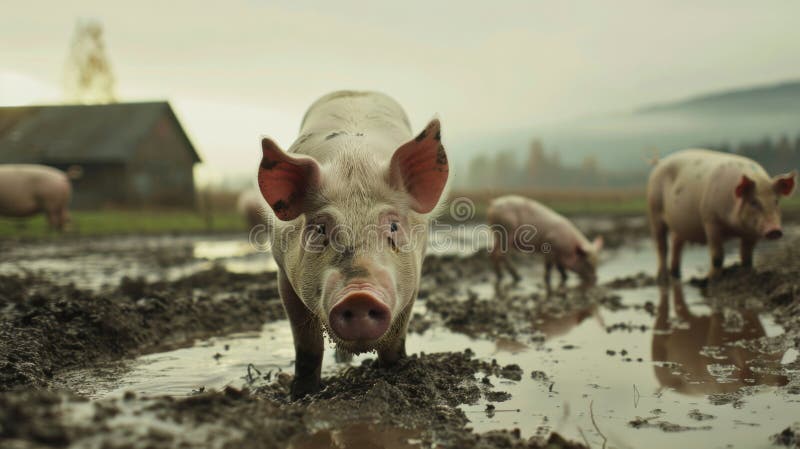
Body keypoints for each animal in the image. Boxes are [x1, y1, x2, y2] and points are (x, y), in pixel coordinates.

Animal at [256, 91, 449, 399]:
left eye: (393, 227)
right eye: (320, 229)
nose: (359, 295)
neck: (353, 160)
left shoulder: (415, 276)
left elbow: (395, 340)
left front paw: (396, 376)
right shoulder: (283, 273)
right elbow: (307, 346)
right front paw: (300, 395)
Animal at [647, 149, 796, 282]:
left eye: (776, 201)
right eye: (753, 202)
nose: (774, 230)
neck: (735, 227)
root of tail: (660, 162)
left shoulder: (751, 233)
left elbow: (747, 256)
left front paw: (748, 274)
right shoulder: (710, 219)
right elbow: (717, 255)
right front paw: (711, 280)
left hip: (680, 224)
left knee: (676, 243)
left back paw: (677, 275)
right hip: (654, 210)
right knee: (662, 245)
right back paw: (663, 278)